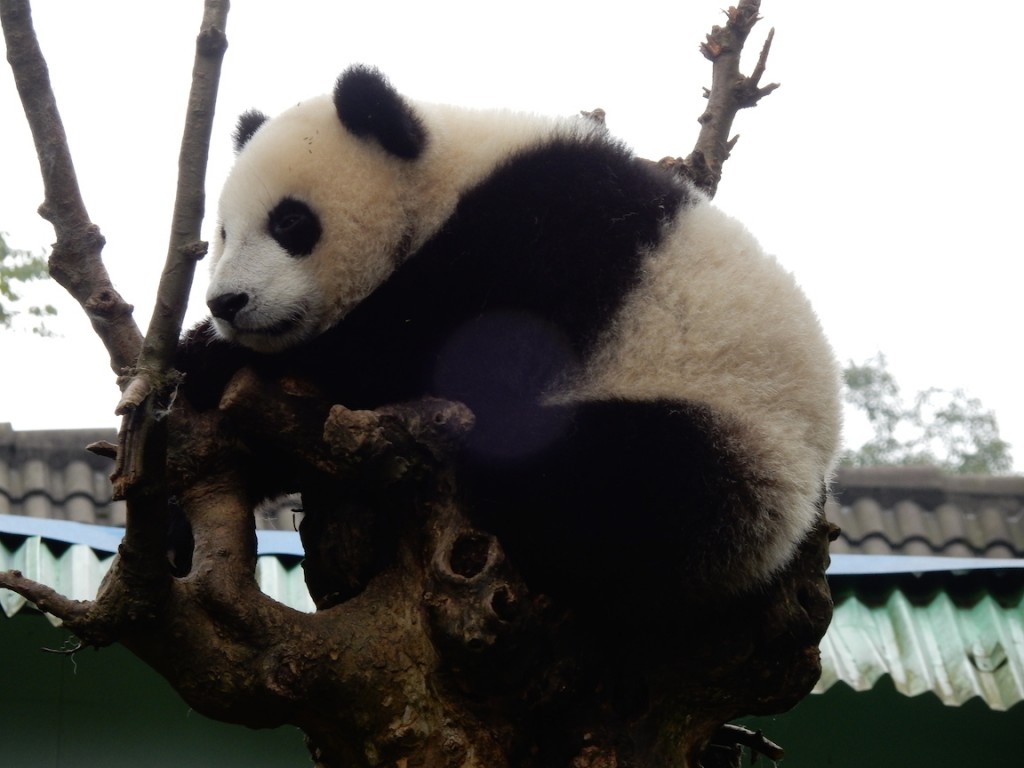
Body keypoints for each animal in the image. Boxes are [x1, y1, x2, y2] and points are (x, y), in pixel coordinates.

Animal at [179, 65, 841, 600]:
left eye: (291, 223)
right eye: (222, 235)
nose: (227, 303)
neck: (443, 178)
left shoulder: (535, 236)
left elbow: (428, 347)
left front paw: (204, 361)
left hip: (732, 439)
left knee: (616, 483)